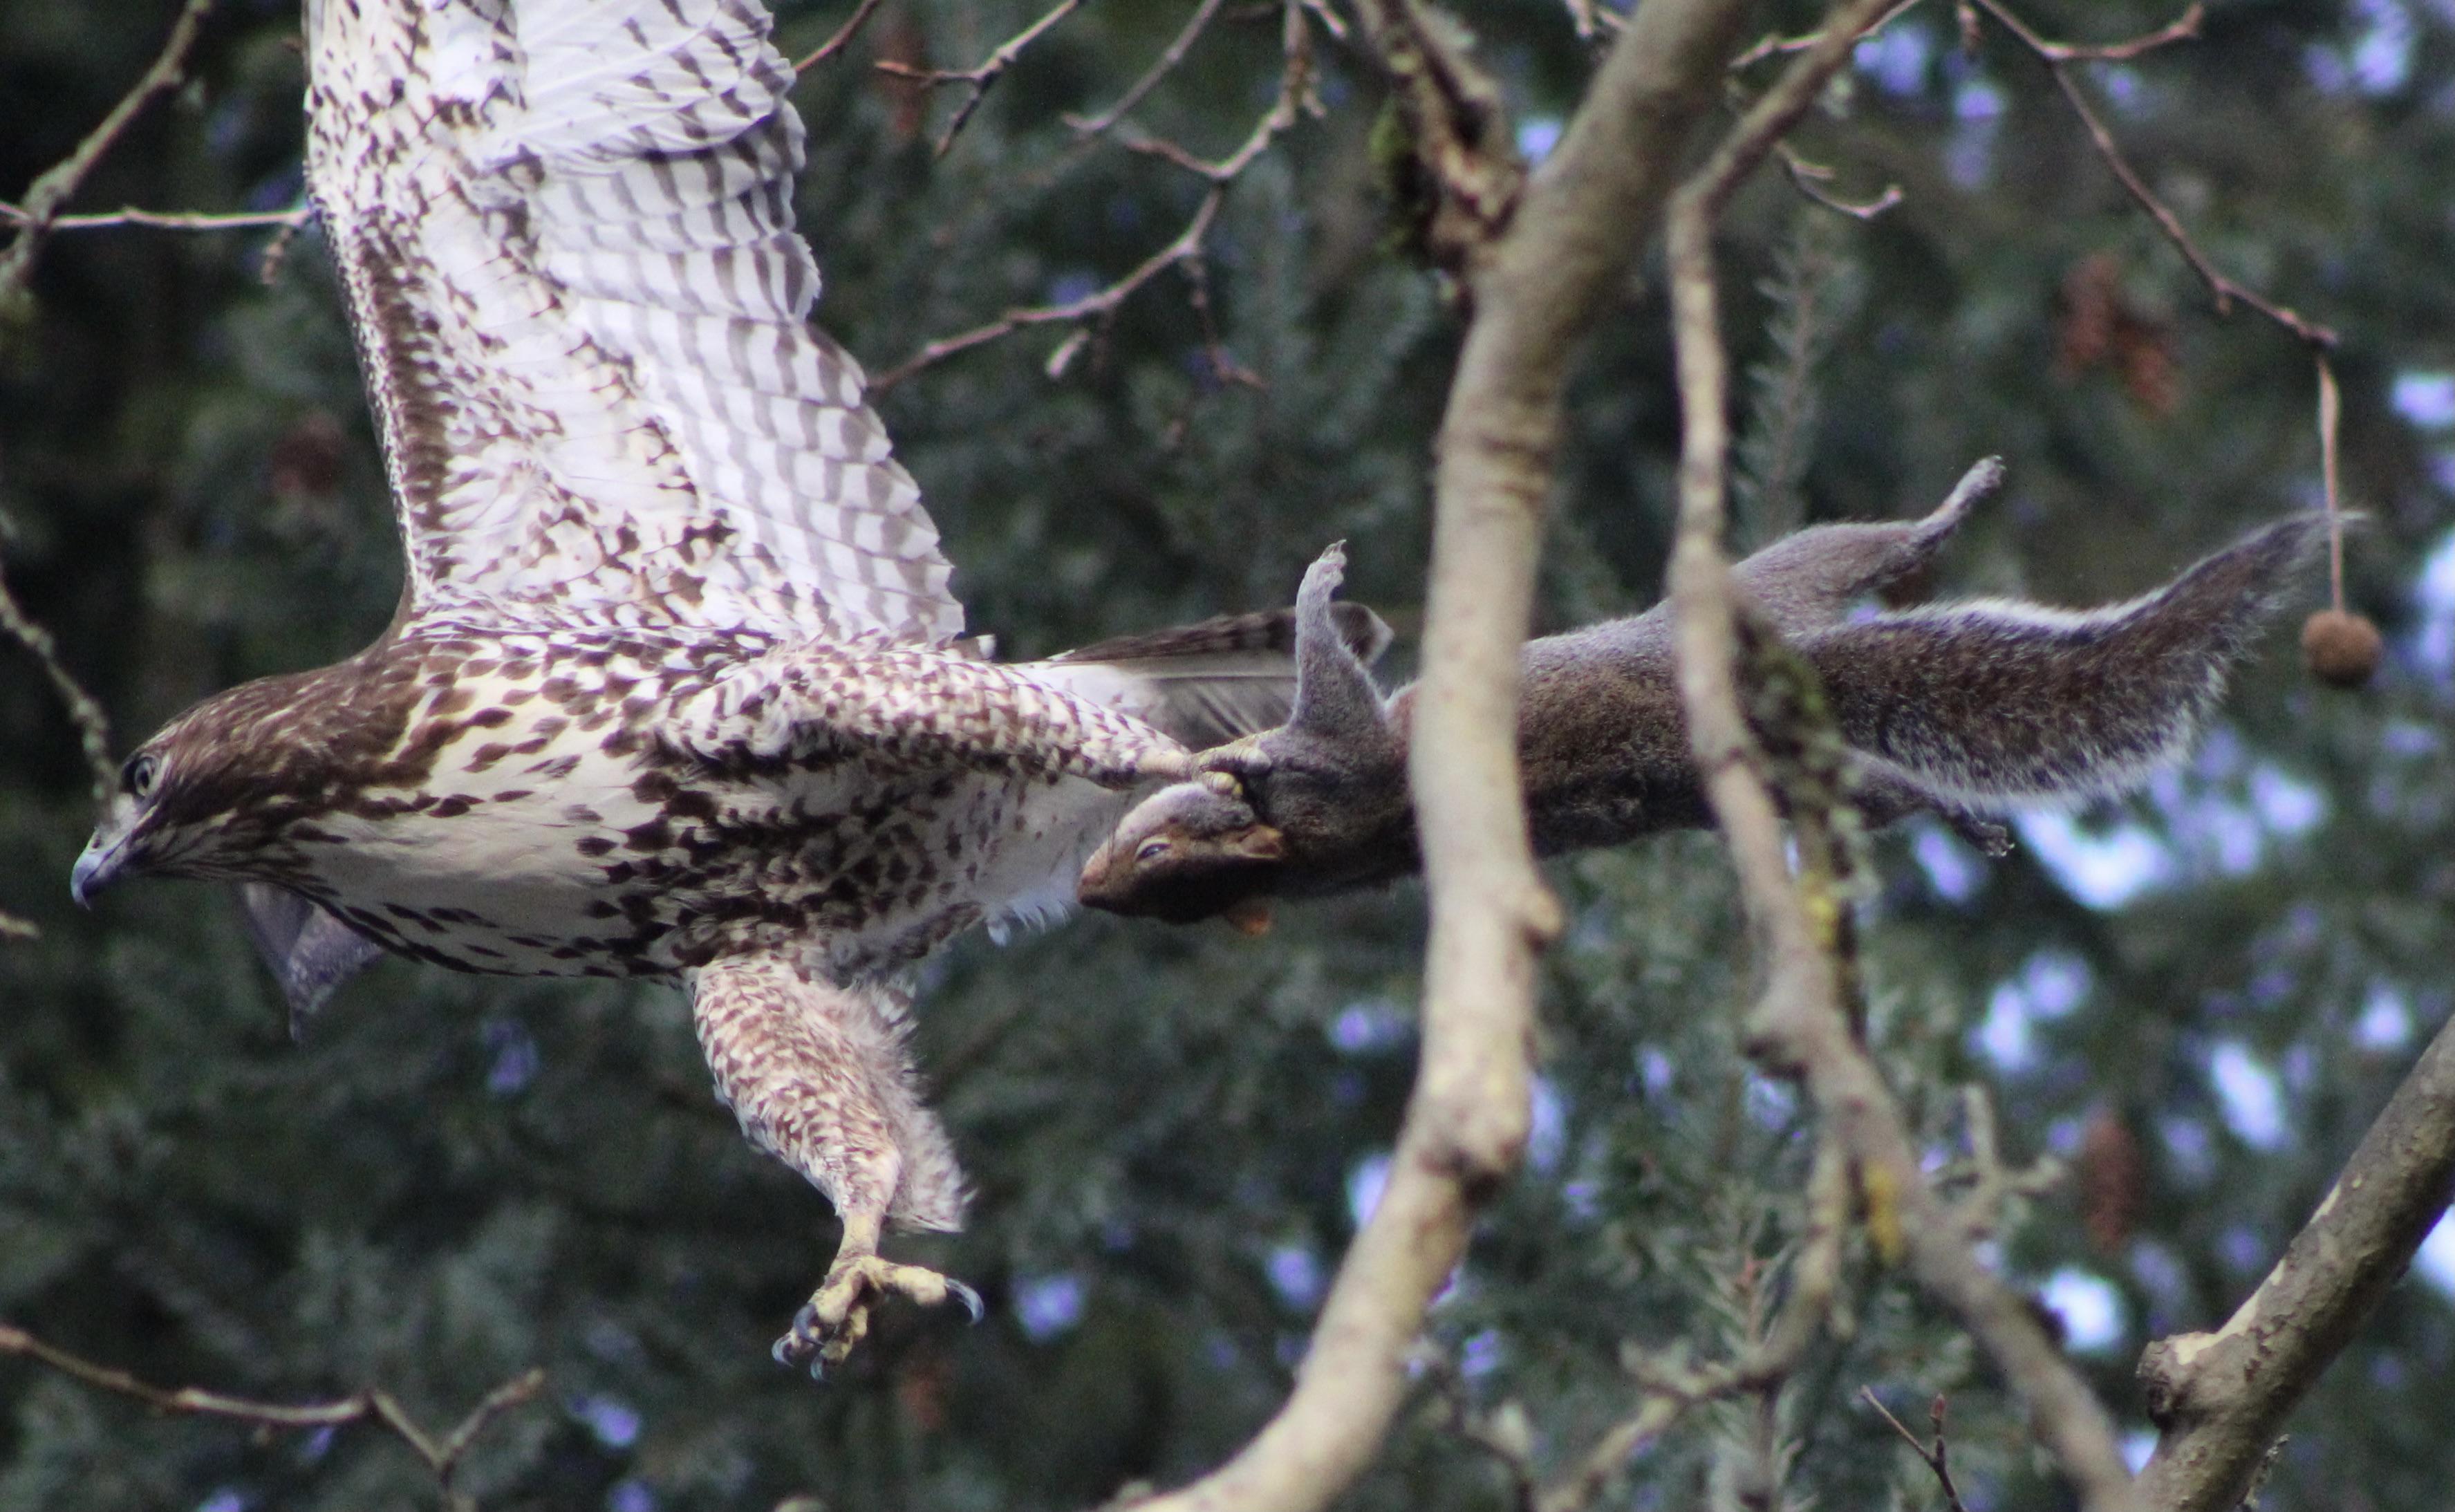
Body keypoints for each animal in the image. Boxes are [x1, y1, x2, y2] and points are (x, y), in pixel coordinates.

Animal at [1077, 460, 2326, 928]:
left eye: (1150, 849)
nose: (1091, 887)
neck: (1301, 846)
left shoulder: (1333, 756)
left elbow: (1322, 677)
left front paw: (1308, 593)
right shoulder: (1340, 764)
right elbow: (1328, 686)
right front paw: (1317, 583)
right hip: (1748, 612)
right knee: (1878, 737)